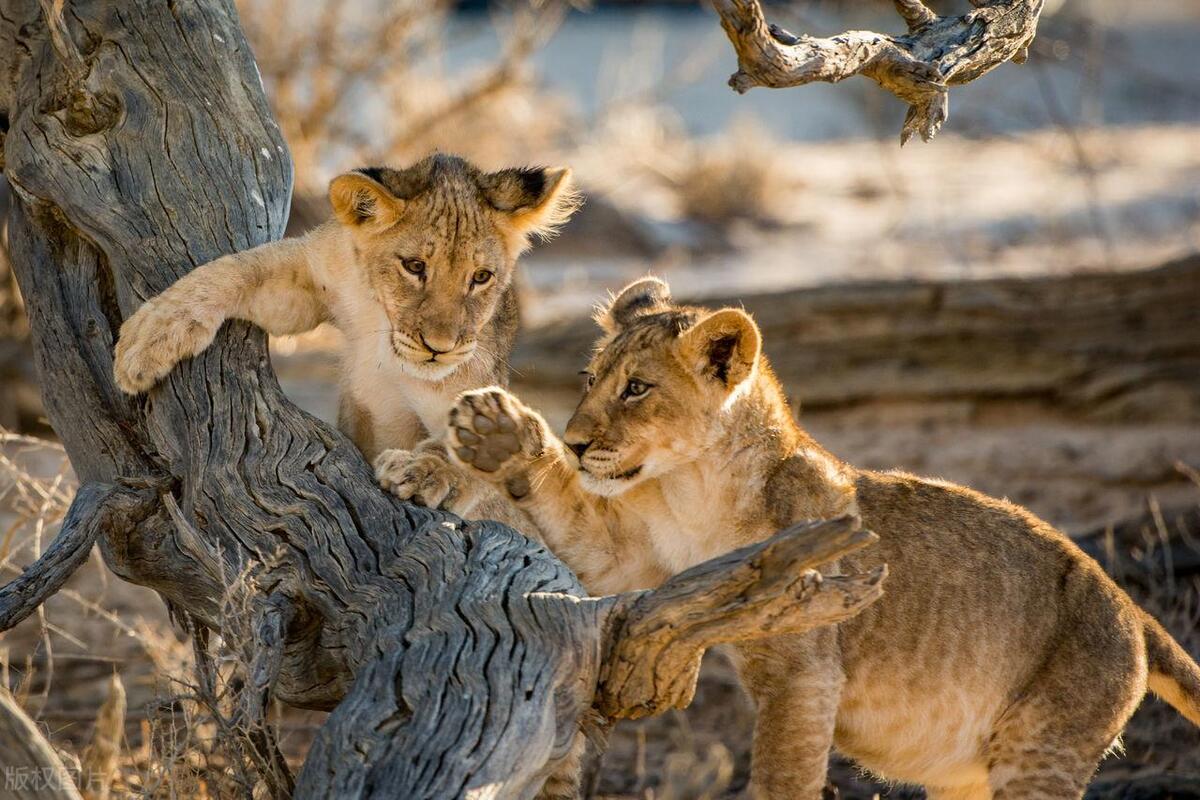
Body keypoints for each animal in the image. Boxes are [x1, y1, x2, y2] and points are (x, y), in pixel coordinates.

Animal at [112, 153, 578, 527]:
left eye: (481, 277)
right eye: (414, 266)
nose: (439, 347)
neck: (384, 328)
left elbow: (483, 440)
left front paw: (424, 471)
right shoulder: (310, 274)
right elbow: (235, 269)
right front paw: (147, 338)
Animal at [434, 276, 1200, 799]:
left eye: (637, 389)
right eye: (592, 379)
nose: (576, 441)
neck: (693, 490)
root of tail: (1128, 606)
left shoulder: (802, 671)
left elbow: (782, 778)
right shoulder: (634, 558)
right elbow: (576, 518)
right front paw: (500, 437)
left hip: (1042, 746)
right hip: (968, 776)